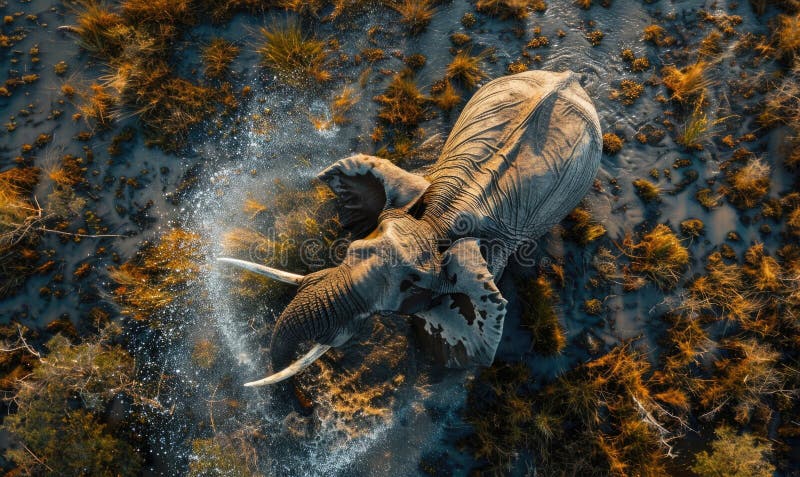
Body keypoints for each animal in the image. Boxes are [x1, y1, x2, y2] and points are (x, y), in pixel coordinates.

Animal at [218, 70, 602, 387]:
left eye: (383, 310)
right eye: (350, 251)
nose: (302, 403)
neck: (436, 224)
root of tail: (569, 76)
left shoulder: (492, 255)